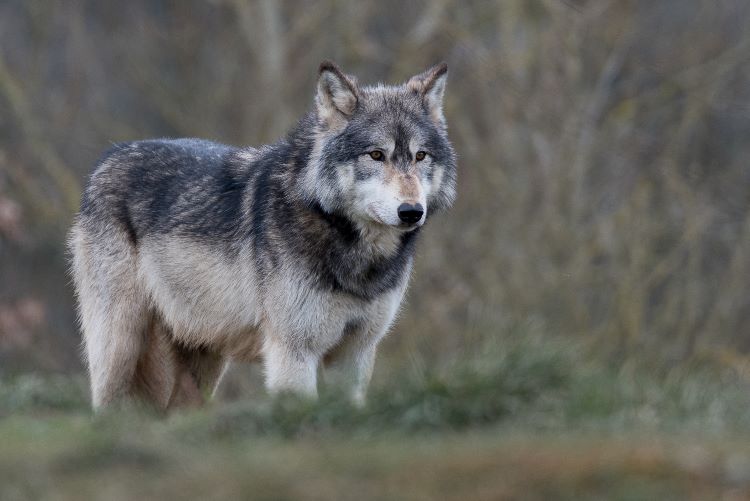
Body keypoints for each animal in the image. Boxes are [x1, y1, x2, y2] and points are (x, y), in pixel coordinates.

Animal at [69, 61, 456, 411]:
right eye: (376, 155)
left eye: (420, 156)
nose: (411, 211)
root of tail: (109, 157)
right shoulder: (293, 351)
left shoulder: (356, 353)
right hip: (121, 347)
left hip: (200, 367)